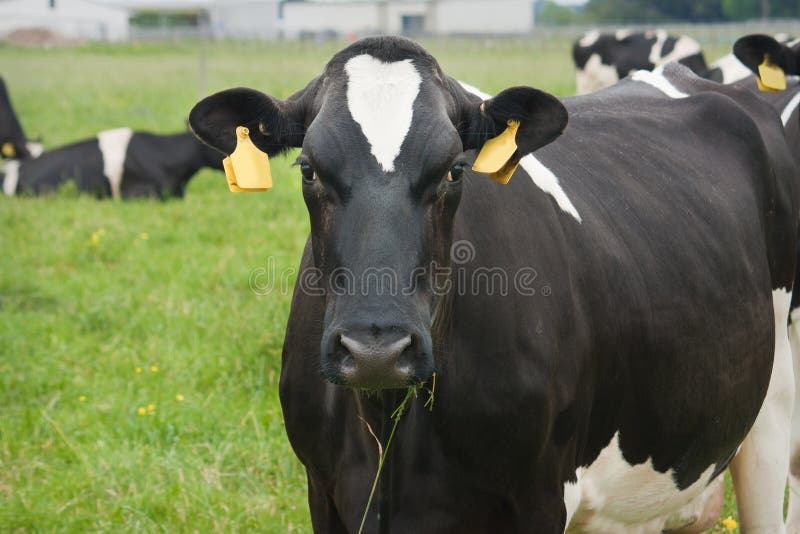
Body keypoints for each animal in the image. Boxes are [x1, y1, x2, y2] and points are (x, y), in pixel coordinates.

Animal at [189, 37, 798, 533]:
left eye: (455, 170)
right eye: (308, 169)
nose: (375, 351)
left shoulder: (540, 497)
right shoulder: (325, 491)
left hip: (774, 407)